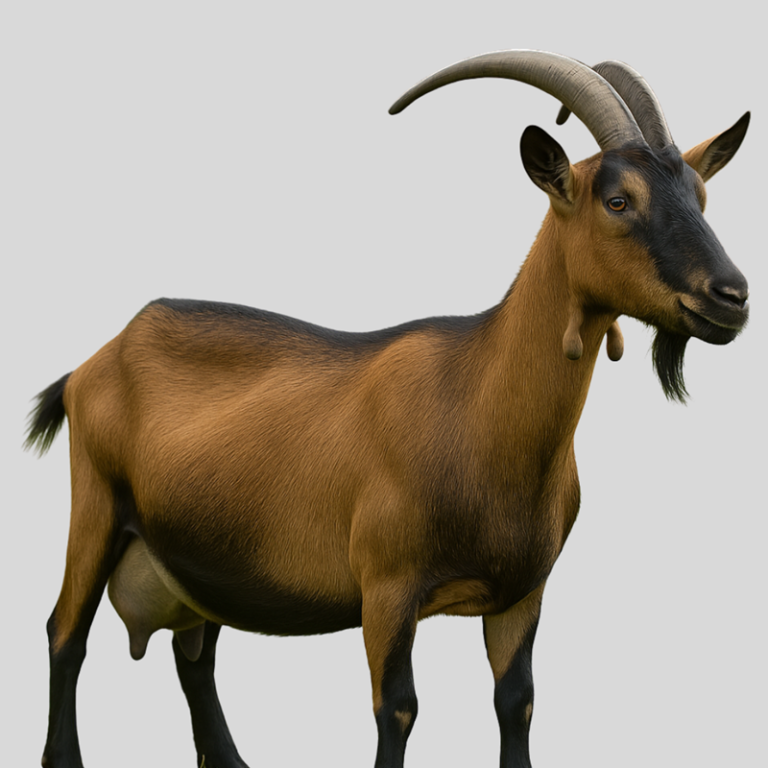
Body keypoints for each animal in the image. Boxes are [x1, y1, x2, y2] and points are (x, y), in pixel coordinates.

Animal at [26, 50, 749, 768]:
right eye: (619, 200)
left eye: (701, 196)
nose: (732, 296)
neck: (475, 401)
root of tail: (91, 364)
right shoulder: (387, 587)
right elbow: (397, 709)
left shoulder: (522, 593)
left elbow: (517, 702)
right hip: (95, 504)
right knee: (66, 633)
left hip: (196, 556)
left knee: (193, 653)